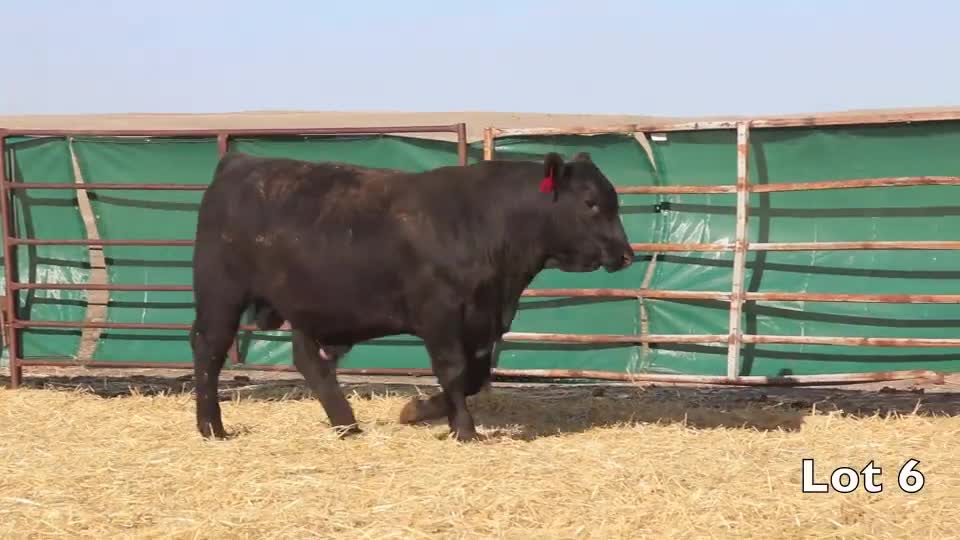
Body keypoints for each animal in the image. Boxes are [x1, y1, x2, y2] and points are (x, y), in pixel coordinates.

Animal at [190, 151, 634, 442]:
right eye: (591, 203)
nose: (627, 254)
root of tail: (240, 161)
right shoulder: (439, 316)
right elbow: (454, 371)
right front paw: (463, 430)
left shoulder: (482, 320)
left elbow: (475, 376)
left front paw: (420, 412)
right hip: (220, 294)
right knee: (209, 350)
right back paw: (212, 427)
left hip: (311, 306)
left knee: (310, 362)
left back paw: (347, 425)